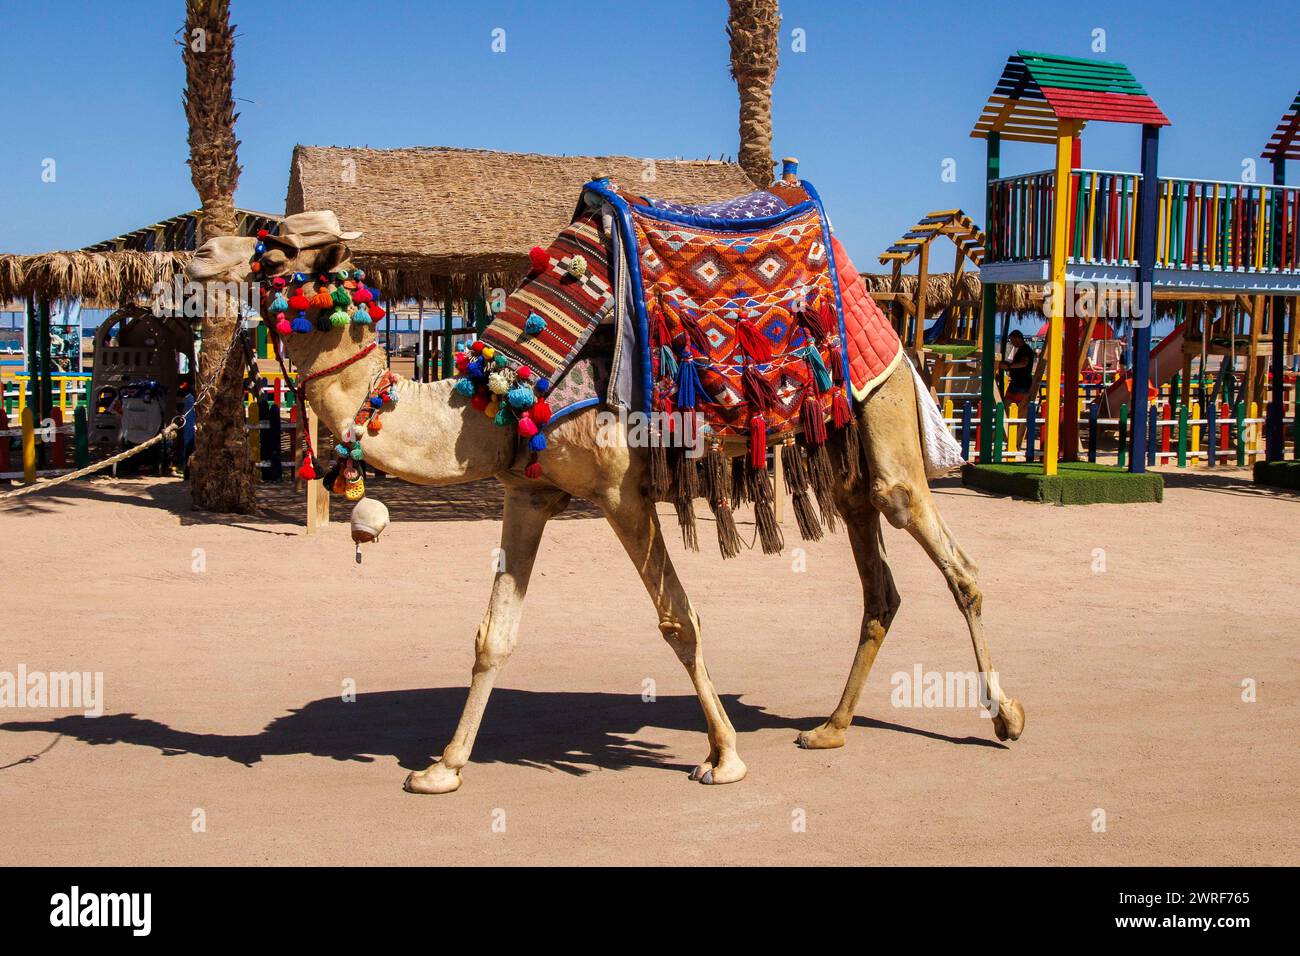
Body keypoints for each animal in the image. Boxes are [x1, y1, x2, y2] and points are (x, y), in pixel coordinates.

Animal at [186, 226, 1024, 795]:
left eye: (277, 250)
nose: (197, 252)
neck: (491, 403)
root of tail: (886, 318)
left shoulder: (622, 493)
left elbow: (678, 620)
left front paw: (724, 757)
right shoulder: (527, 493)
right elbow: (494, 634)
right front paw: (443, 768)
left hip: (887, 421)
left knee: (956, 562)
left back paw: (1006, 718)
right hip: (844, 459)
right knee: (880, 585)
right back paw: (830, 729)